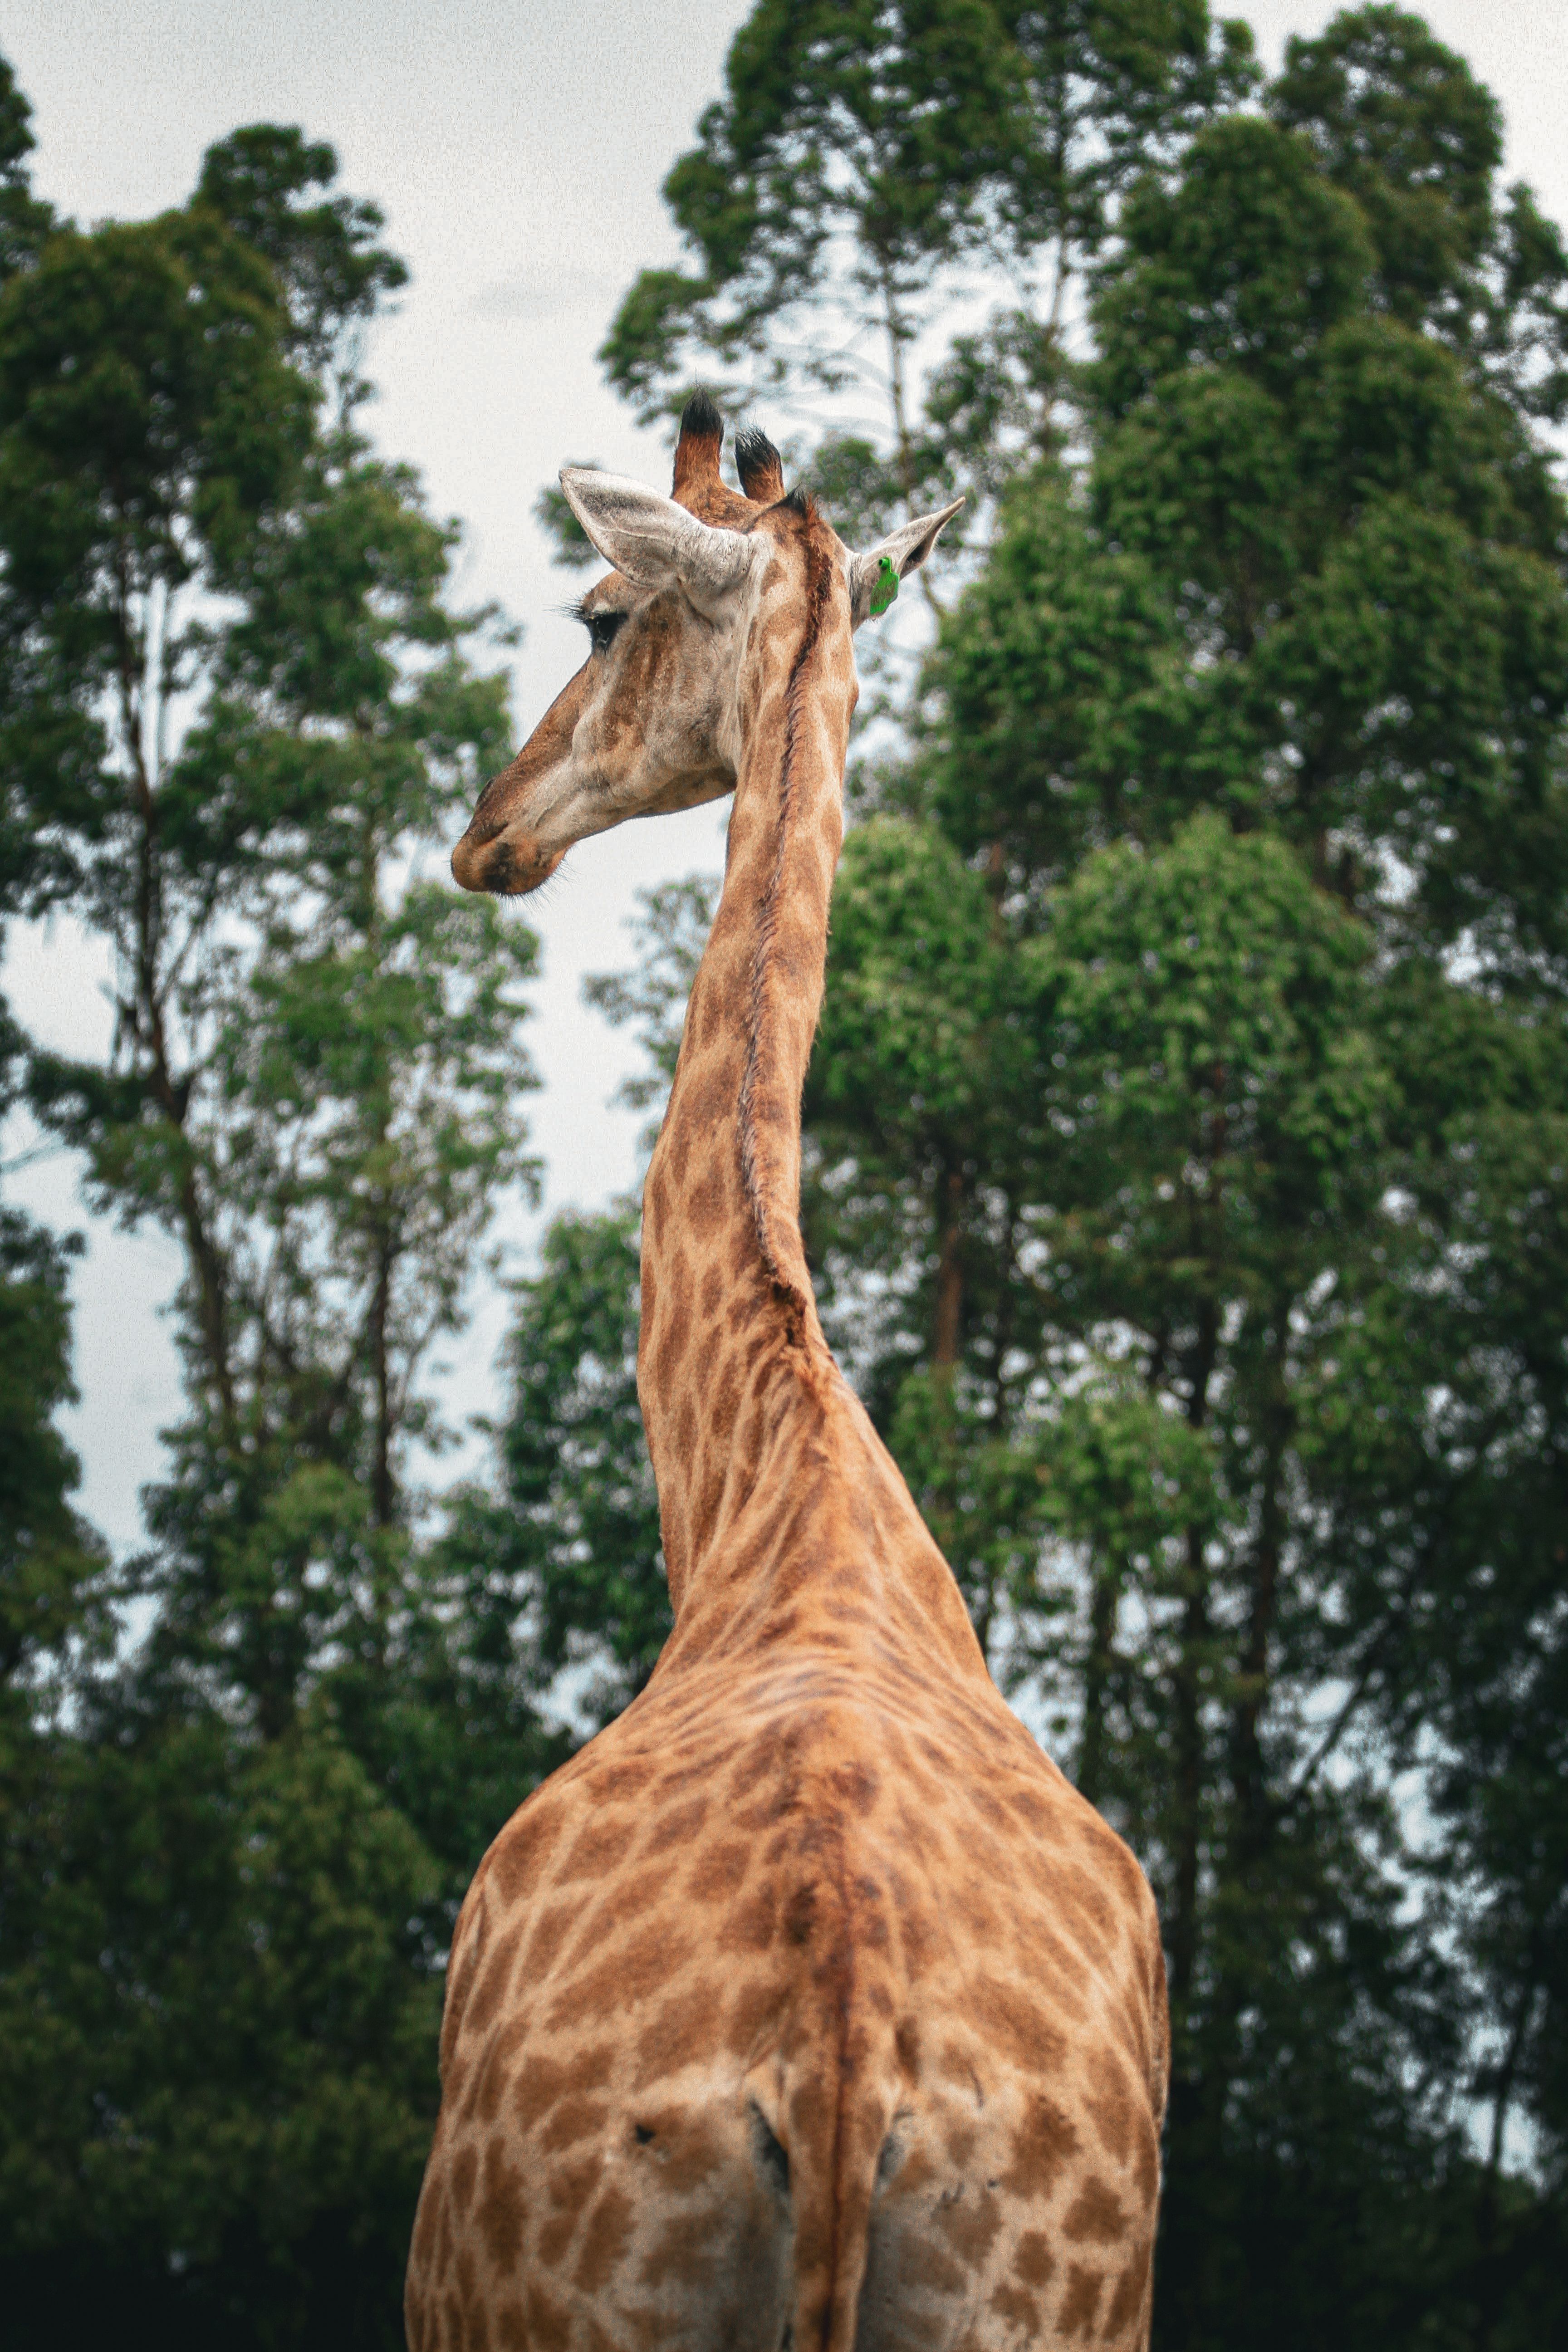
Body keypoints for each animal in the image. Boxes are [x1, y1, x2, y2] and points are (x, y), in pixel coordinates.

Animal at [409, 393, 1169, 2352]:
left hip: (530, 2283)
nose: (489, 830)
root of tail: (841, 2054)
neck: (769, 1469)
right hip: (1049, 2300)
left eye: (599, 613)